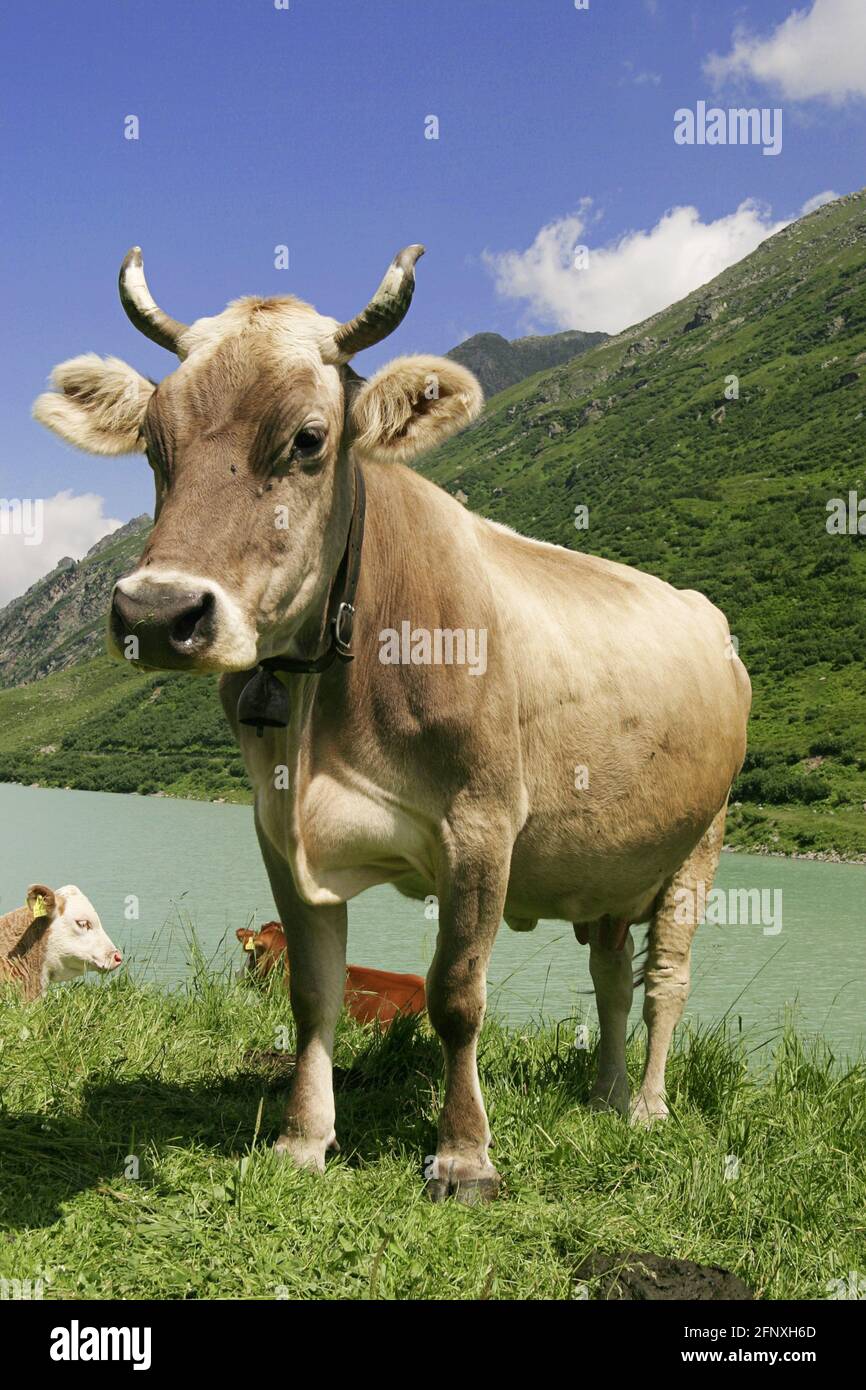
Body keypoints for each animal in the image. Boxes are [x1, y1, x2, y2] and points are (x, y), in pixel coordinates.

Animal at [33, 245, 751, 1202]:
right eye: (154, 442)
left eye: (308, 439)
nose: (156, 615)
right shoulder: (277, 828)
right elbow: (314, 990)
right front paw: (303, 1137)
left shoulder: (482, 823)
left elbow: (456, 995)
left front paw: (465, 1155)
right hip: (607, 863)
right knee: (610, 977)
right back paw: (600, 1096)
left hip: (700, 839)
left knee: (667, 979)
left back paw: (645, 1106)